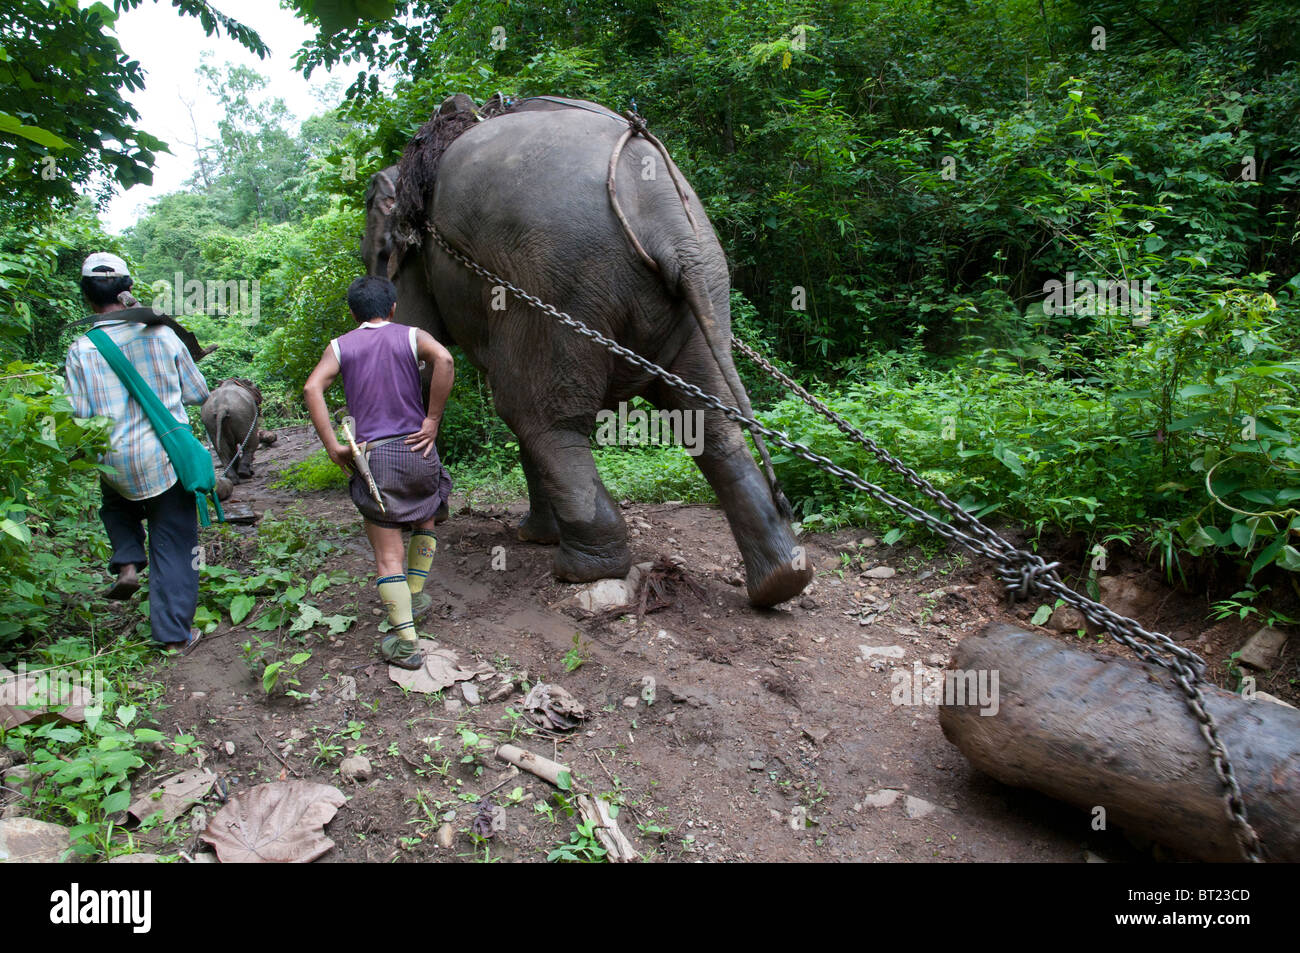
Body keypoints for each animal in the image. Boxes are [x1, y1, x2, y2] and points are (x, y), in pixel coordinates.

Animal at [363, 94, 813, 607]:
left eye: (374, 253)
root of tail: (666, 220)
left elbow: (422, 351)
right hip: (703, 287)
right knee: (710, 420)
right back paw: (781, 580)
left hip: (559, 286)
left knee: (536, 415)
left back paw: (581, 570)